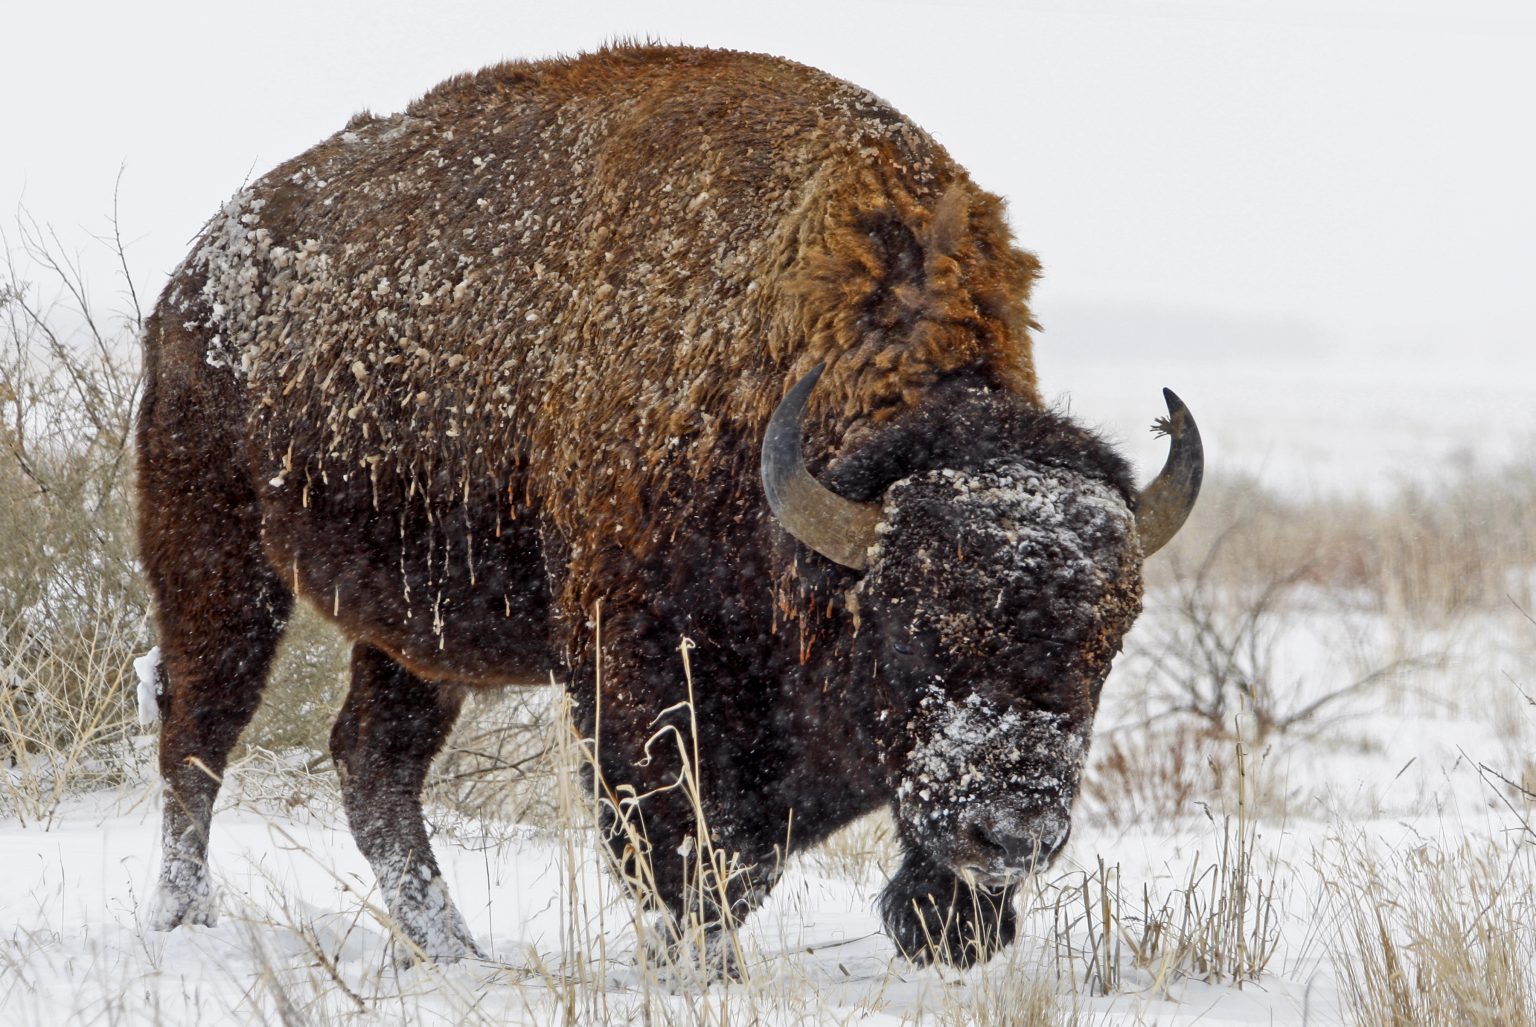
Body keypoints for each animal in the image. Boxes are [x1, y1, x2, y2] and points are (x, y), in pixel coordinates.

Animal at [137, 44, 1201, 968]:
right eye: (912, 630)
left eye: (1105, 646)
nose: (1013, 832)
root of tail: (195, 276)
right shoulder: (640, 677)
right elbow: (696, 852)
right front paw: (697, 966)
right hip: (217, 558)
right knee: (198, 732)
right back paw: (186, 918)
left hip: (415, 631)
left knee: (374, 765)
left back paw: (456, 952)